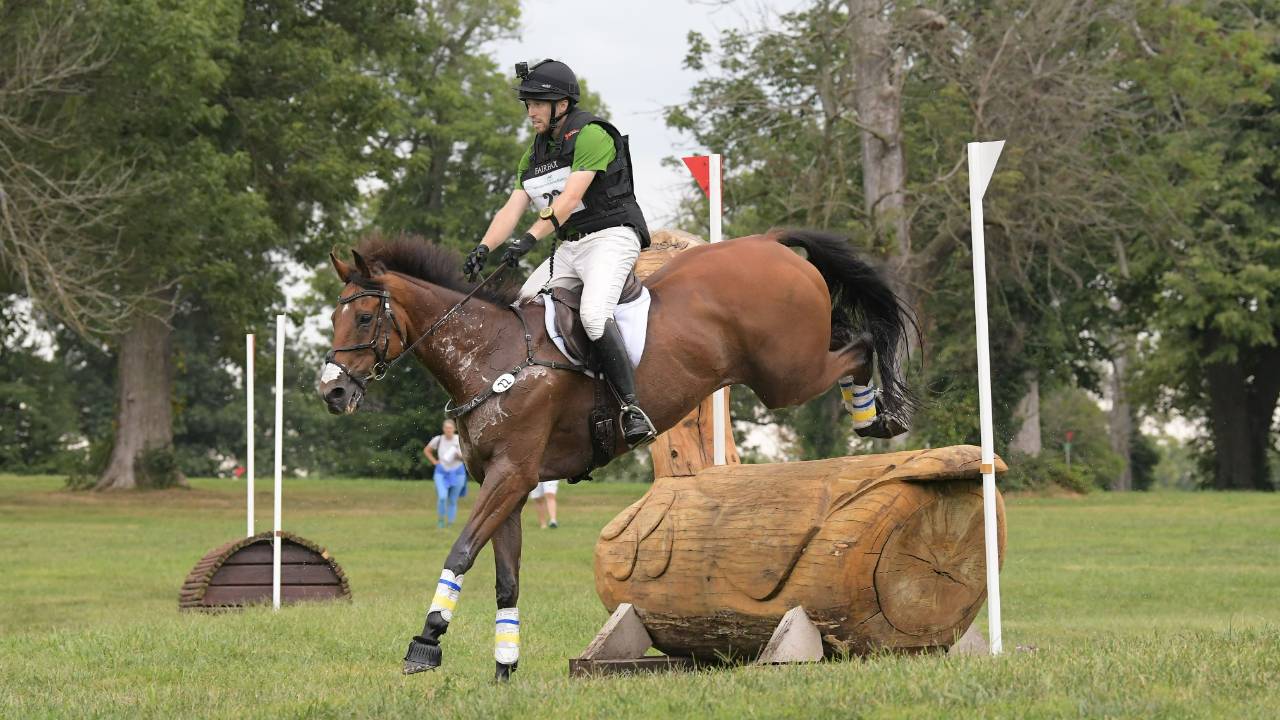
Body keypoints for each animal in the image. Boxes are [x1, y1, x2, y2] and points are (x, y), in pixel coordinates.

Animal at [316, 229, 918, 680]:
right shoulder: (504, 483)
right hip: (787, 364)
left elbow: (460, 552)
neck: (490, 355)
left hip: (786, 374)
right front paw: (505, 664)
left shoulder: (512, 475)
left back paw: (878, 416)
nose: (333, 393)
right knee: (848, 334)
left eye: (364, 319)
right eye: (333, 319)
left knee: (861, 345)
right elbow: (506, 577)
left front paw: (426, 642)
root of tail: (765, 242)